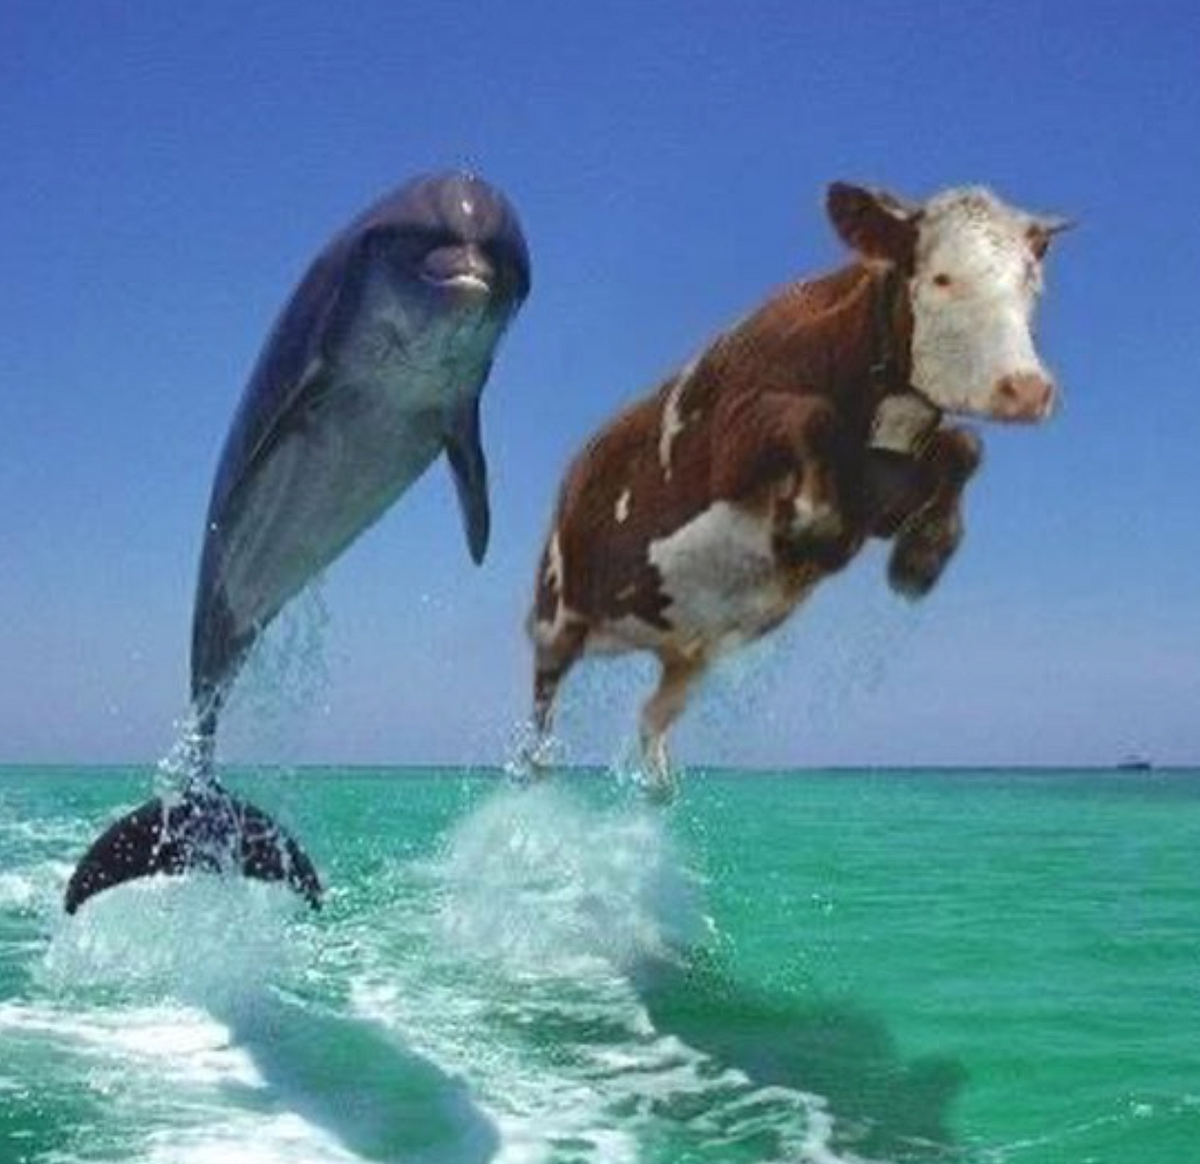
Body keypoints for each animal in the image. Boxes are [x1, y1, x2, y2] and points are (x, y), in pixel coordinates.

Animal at [527, 182, 1070, 797]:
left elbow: (965, 446)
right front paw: (810, 525)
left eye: (1032, 283)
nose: (1027, 389)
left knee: (652, 716)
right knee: (541, 709)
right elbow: (812, 416)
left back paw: (659, 788)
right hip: (555, 612)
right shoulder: (731, 439)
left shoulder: (883, 495)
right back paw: (535, 771)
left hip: (689, 650)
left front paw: (921, 558)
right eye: (941, 277)